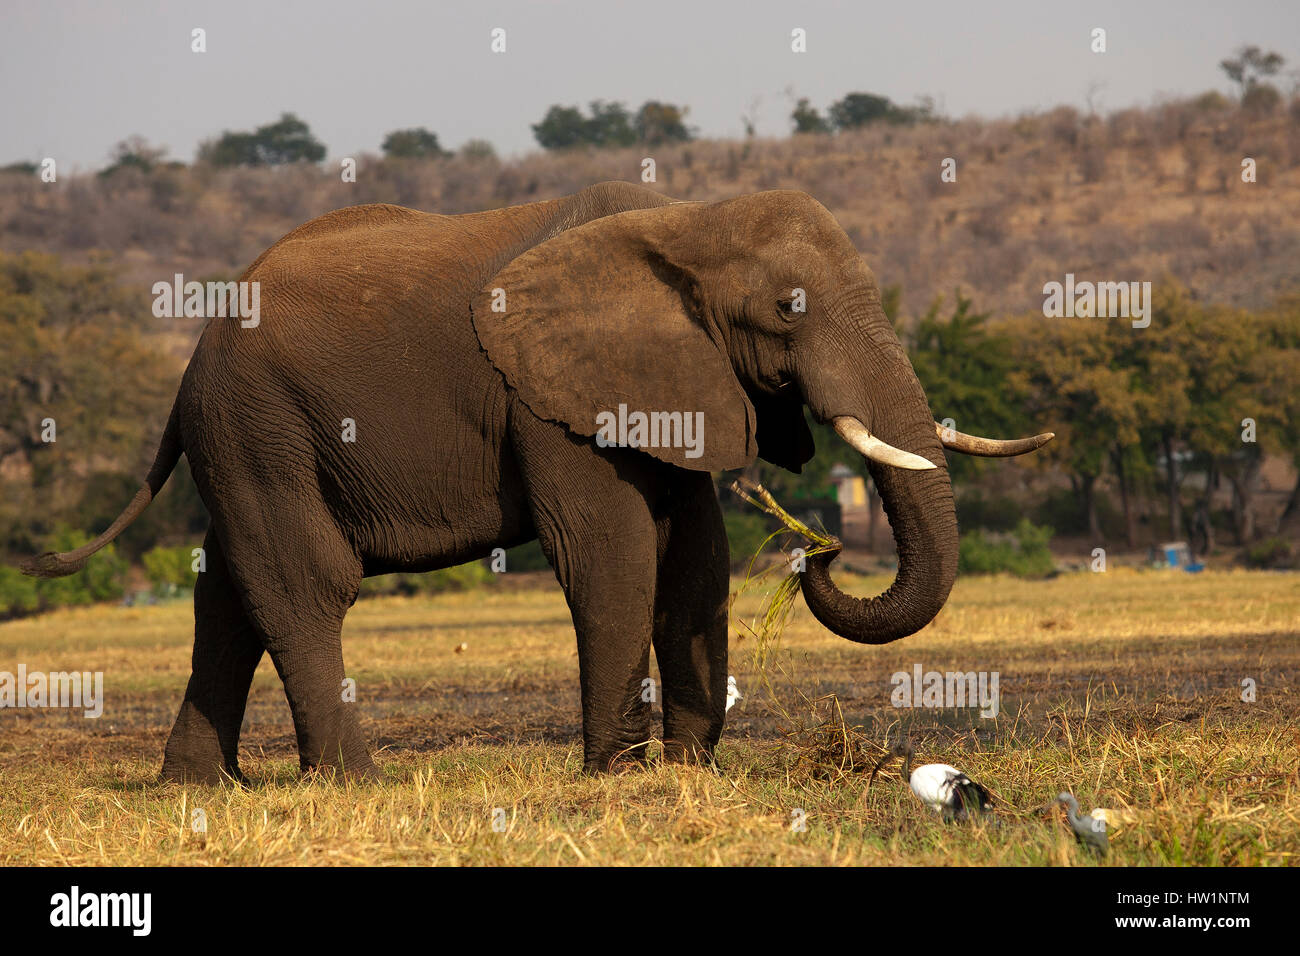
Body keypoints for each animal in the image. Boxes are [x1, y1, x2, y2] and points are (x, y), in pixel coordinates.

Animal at [22, 181, 1051, 782]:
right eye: (789, 308)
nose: (822, 552)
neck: (679, 219)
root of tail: (192, 353)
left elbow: (694, 556)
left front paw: (689, 775)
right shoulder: (544, 399)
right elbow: (611, 553)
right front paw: (613, 779)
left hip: (244, 434)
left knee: (229, 589)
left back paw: (200, 788)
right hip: (252, 422)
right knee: (303, 580)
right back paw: (354, 784)